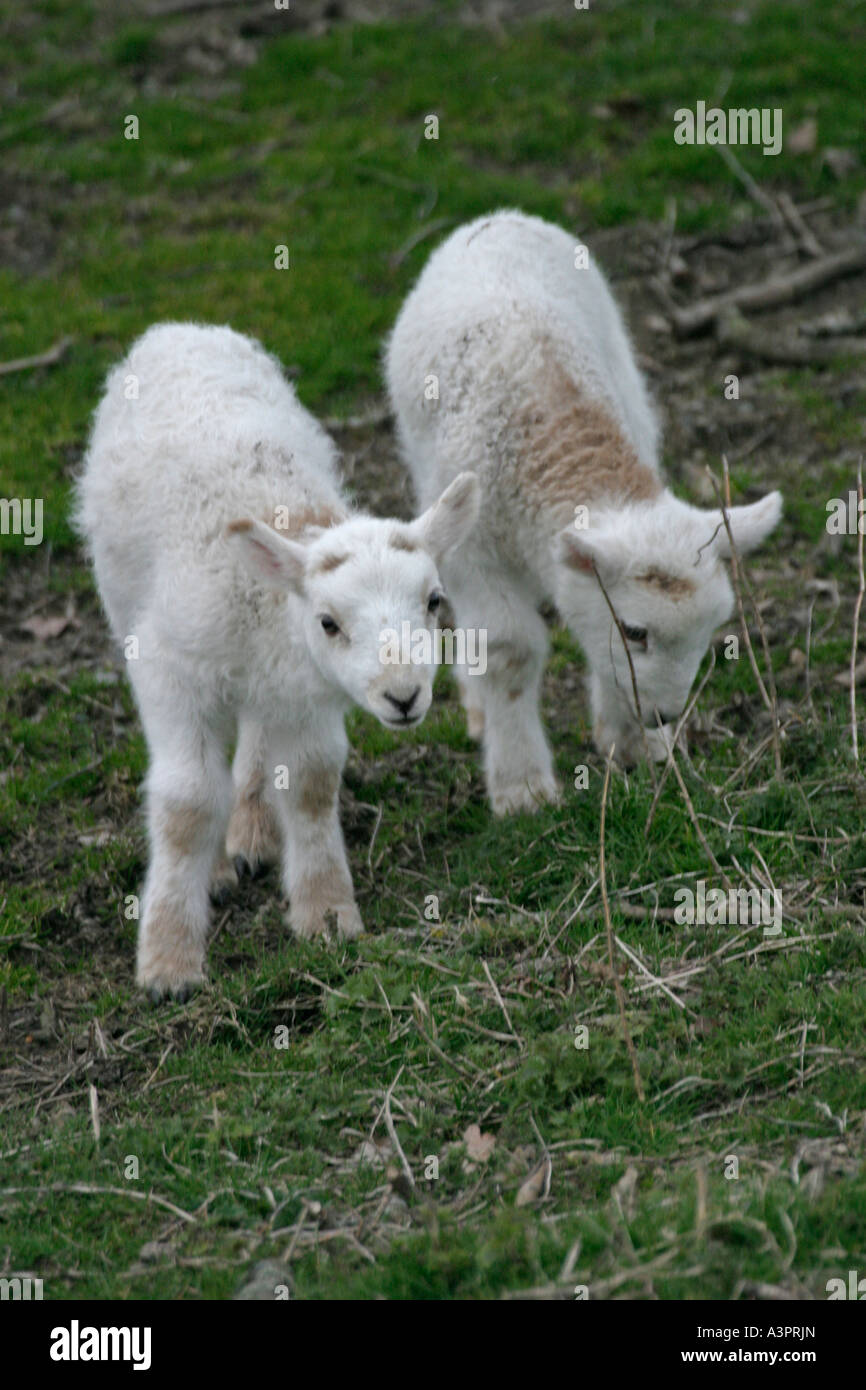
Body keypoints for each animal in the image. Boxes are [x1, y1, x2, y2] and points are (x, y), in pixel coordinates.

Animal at [75, 322, 479, 999]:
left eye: (433, 601)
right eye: (329, 622)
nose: (404, 696)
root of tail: (180, 328)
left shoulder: (308, 695)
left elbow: (313, 783)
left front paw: (327, 914)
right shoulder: (170, 672)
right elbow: (186, 803)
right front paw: (168, 962)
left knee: (260, 740)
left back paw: (253, 830)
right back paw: (217, 866)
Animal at [386, 210, 782, 815]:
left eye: (713, 629)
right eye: (636, 631)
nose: (663, 715)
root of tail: (500, 216)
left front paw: (634, 744)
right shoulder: (475, 554)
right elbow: (508, 649)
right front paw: (522, 788)